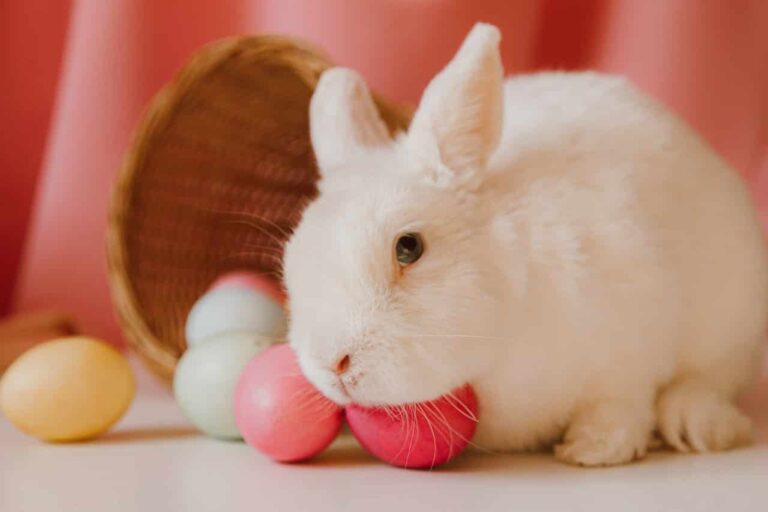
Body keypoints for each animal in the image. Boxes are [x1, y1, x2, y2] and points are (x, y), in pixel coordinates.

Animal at [282, 22, 768, 466]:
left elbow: (621, 403)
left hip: (730, 323)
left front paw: (592, 449)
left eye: (409, 247)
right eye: (291, 264)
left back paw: (698, 425)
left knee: (706, 381)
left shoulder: (632, 347)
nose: (333, 364)